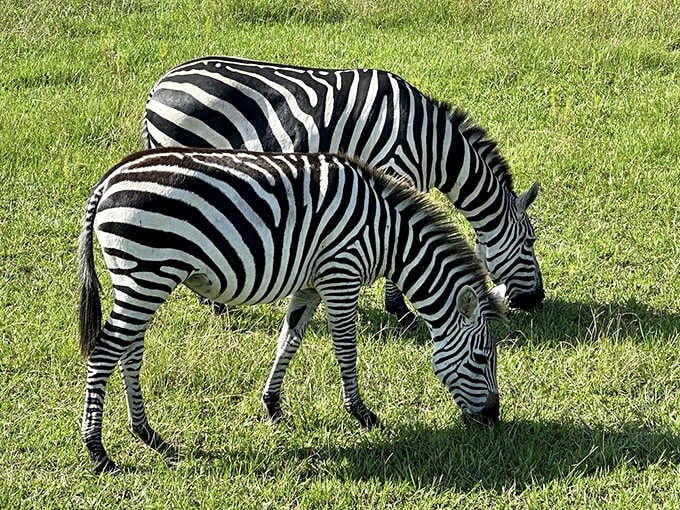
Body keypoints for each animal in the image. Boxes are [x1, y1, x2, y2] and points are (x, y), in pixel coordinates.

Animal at [78, 148, 506, 473]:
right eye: (482, 357)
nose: (493, 418)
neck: (386, 235)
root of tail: (109, 179)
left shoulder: (310, 284)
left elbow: (290, 339)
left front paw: (273, 406)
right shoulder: (341, 274)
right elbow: (345, 349)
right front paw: (362, 413)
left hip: (142, 280)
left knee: (130, 352)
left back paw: (149, 435)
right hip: (147, 272)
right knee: (103, 354)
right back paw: (98, 453)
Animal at [142, 56, 544, 326]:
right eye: (530, 241)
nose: (536, 300)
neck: (432, 144)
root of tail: (159, 85)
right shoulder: (394, 171)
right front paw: (401, 312)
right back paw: (217, 306)